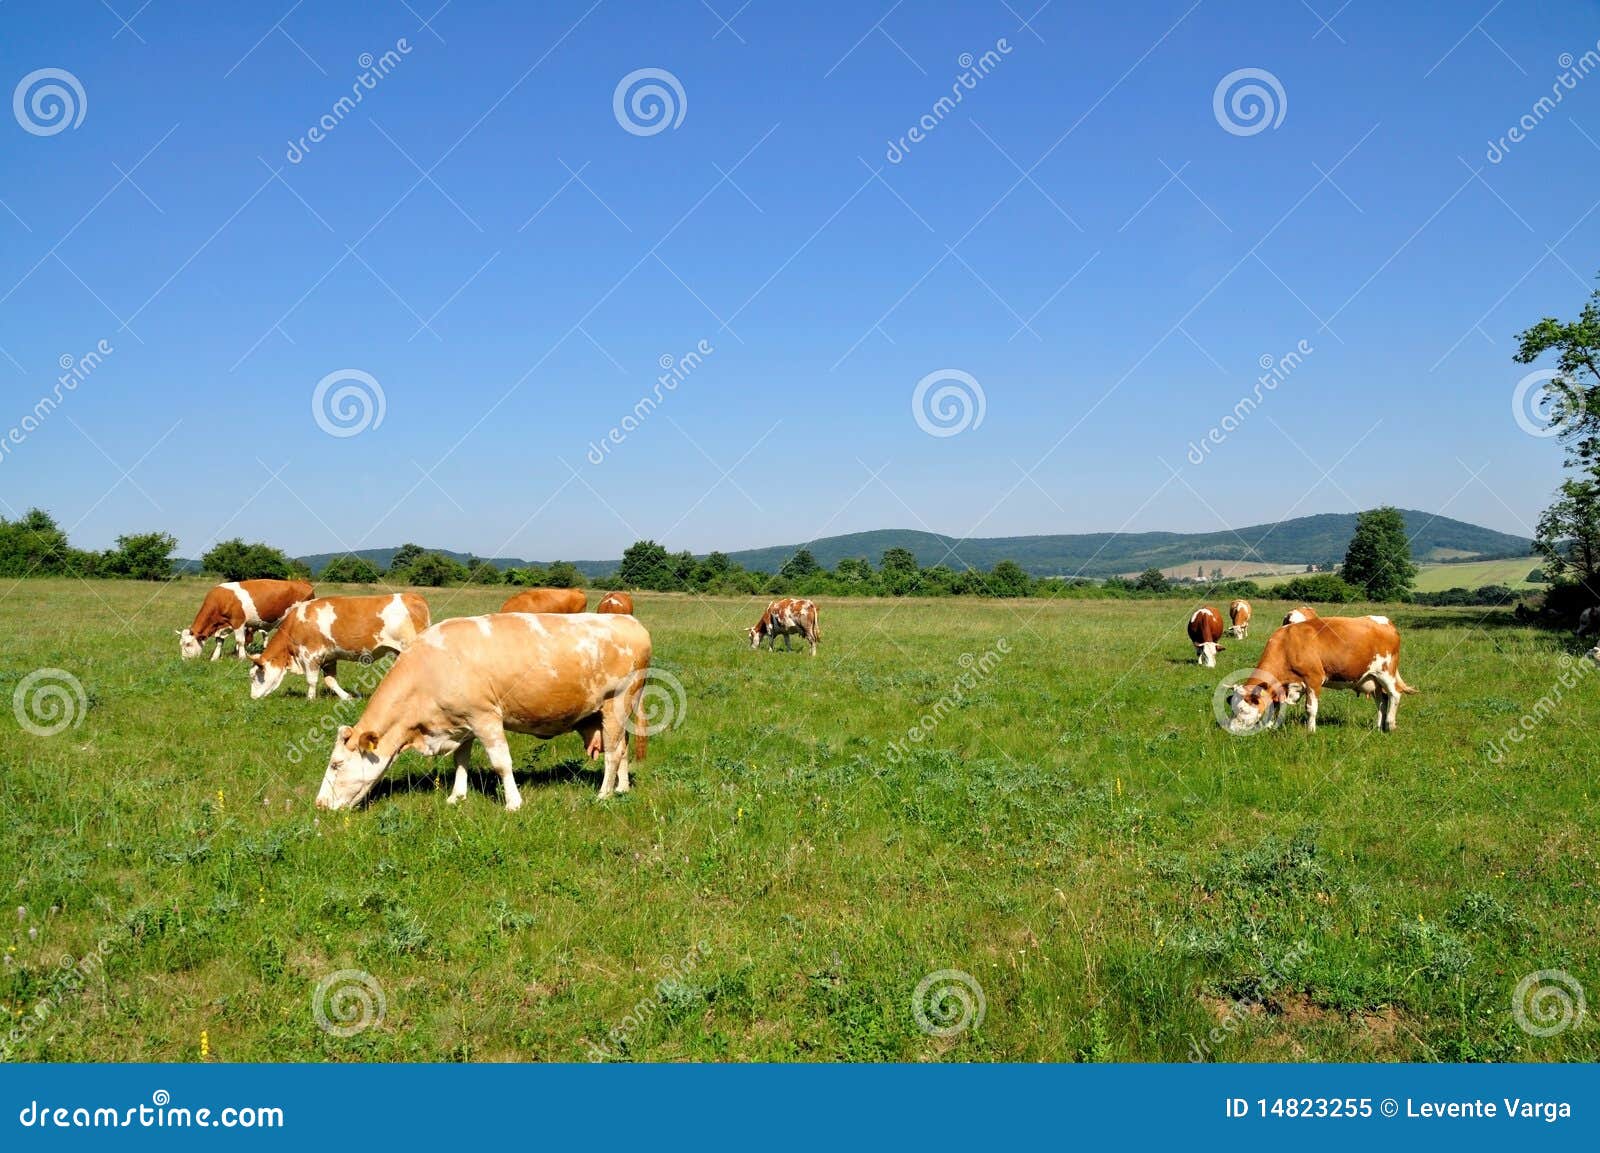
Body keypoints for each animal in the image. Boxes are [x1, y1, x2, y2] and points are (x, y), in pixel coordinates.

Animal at [177, 579, 314, 661]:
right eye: (181, 644)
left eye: (188, 644)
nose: (184, 660)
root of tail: (303, 583)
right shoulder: (223, 626)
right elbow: (219, 641)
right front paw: (215, 657)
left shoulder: (239, 622)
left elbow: (240, 641)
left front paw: (242, 658)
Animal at [248, 593, 430, 700]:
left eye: (255, 676)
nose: (252, 697)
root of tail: (412, 596)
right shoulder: (329, 657)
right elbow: (330, 680)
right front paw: (346, 697)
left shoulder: (310, 655)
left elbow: (311, 680)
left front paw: (310, 699)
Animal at [314, 613, 652, 811]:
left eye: (335, 764)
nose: (318, 805)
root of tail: (629, 620)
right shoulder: (460, 721)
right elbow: (461, 760)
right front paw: (457, 796)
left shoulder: (485, 717)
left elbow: (501, 763)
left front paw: (513, 803)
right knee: (621, 747)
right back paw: (622, 788)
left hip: (617, 702)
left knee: (612, 753)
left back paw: (604, 794)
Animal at [1224, 615, 1417, 734]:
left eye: (1242, 709)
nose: (1232, 729)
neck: (1287, 645)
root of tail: (1386, 622)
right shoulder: (1282, 686)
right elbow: (1276, 705)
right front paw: (1271, 726)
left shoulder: (1314, 680)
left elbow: (1311, 708)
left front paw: (1311, 731)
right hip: (1372, 678)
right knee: (1381, 700)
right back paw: (1378, 727)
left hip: (1386, 672)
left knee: (1394, 695)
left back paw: (1390, 725)